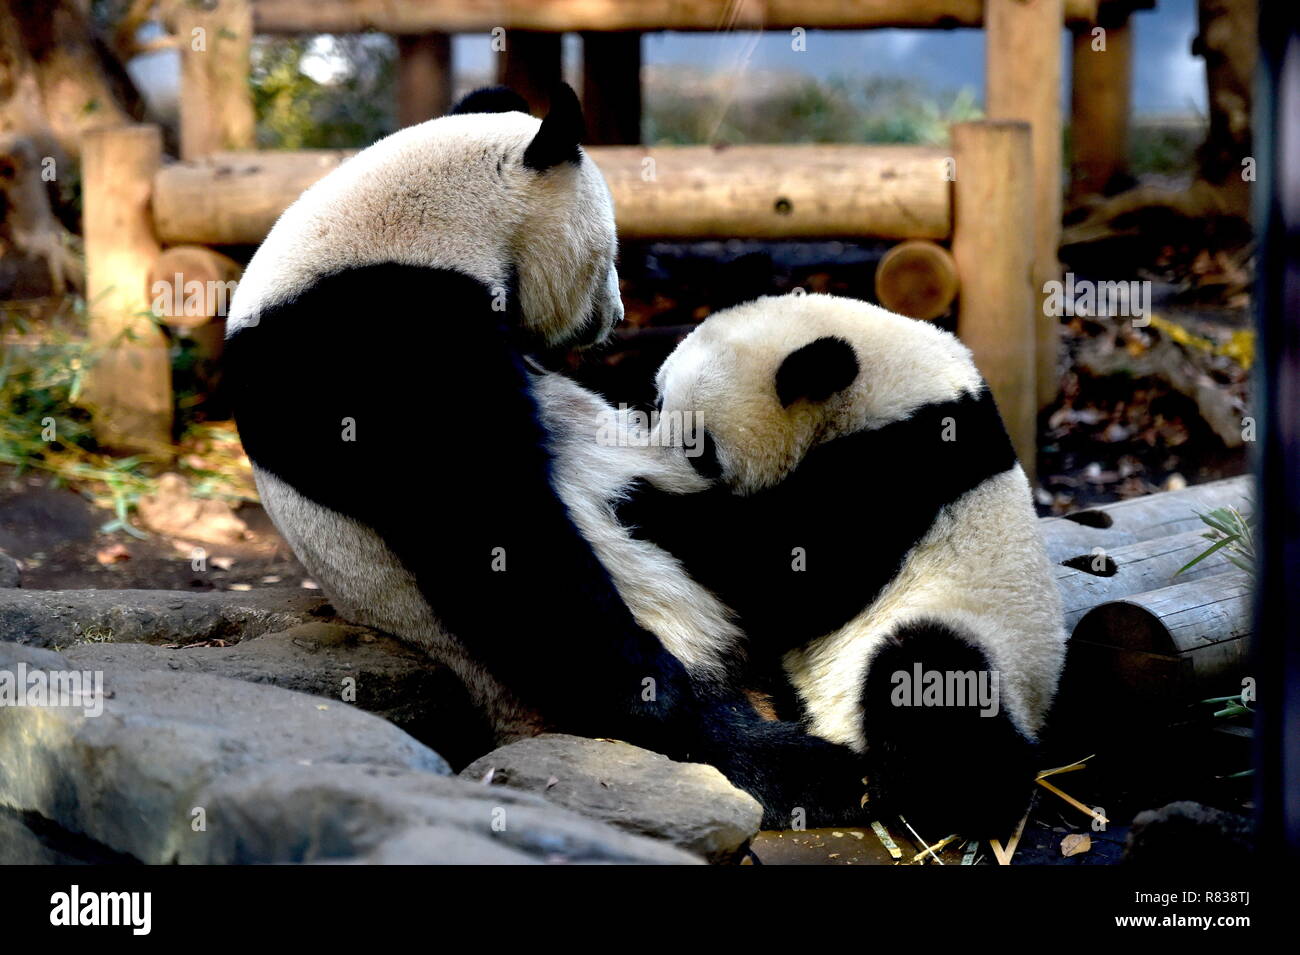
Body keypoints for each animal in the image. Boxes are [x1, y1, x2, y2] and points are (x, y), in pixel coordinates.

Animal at [615, 292, 1068, 834]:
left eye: (699, 446)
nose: (654, 464)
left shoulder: (903, 463)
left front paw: (646, 501)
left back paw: (908, 791)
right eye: (658, 406)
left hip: (989, 648)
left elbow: (797, 575)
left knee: (928, 680)